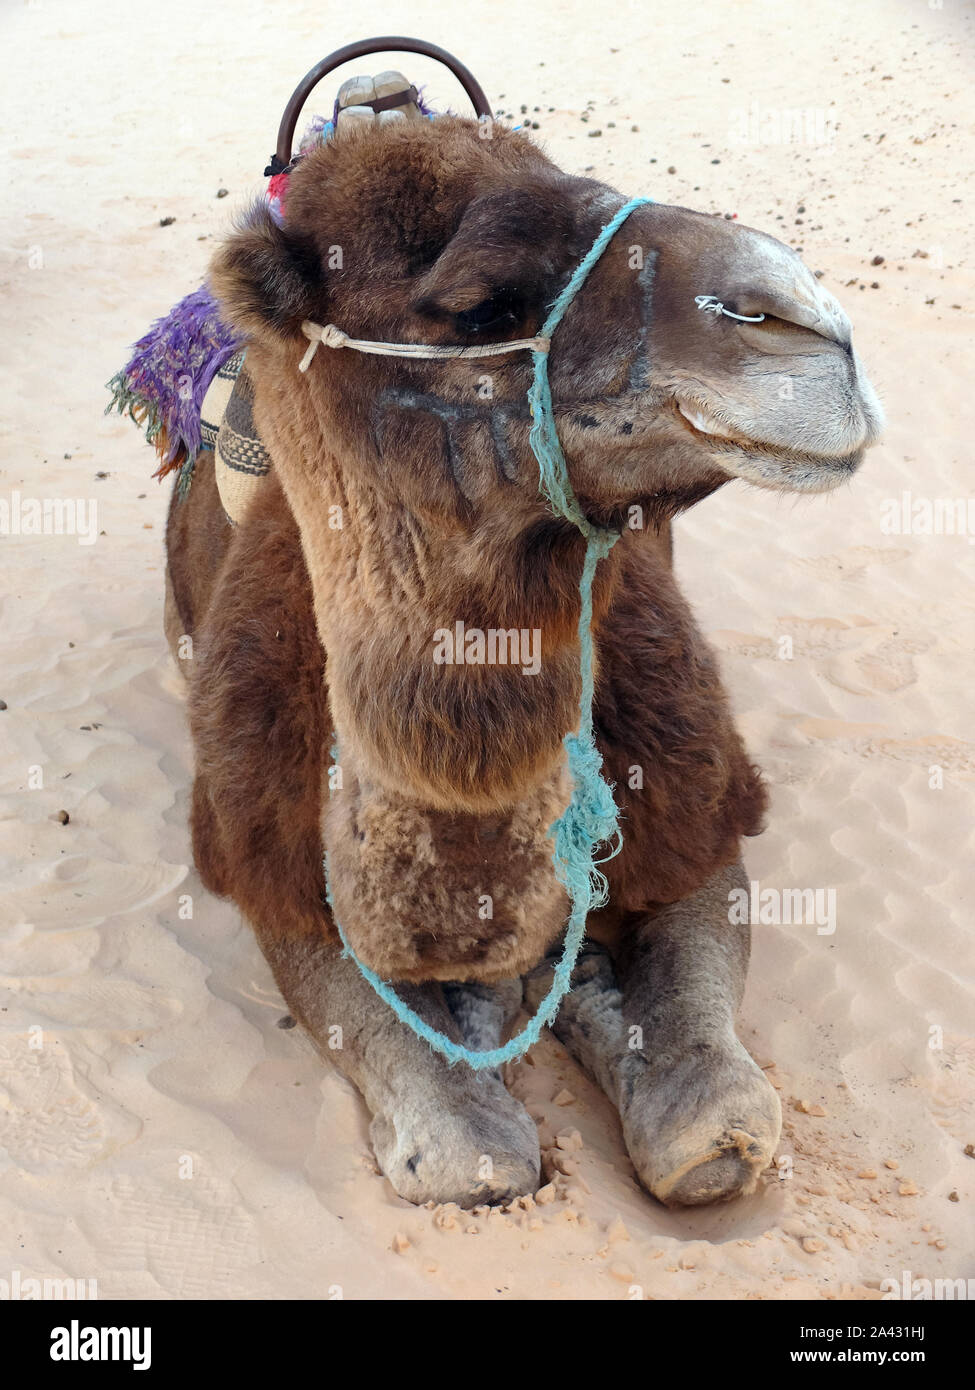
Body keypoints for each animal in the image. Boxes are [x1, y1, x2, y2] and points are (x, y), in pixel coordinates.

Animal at [164, 100, 883, 1209]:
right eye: (478, 305)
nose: (808, 324)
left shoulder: (698, 810)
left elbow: (712, 1125)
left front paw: (580, 989)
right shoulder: (267, 859)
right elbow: (471, 1155)